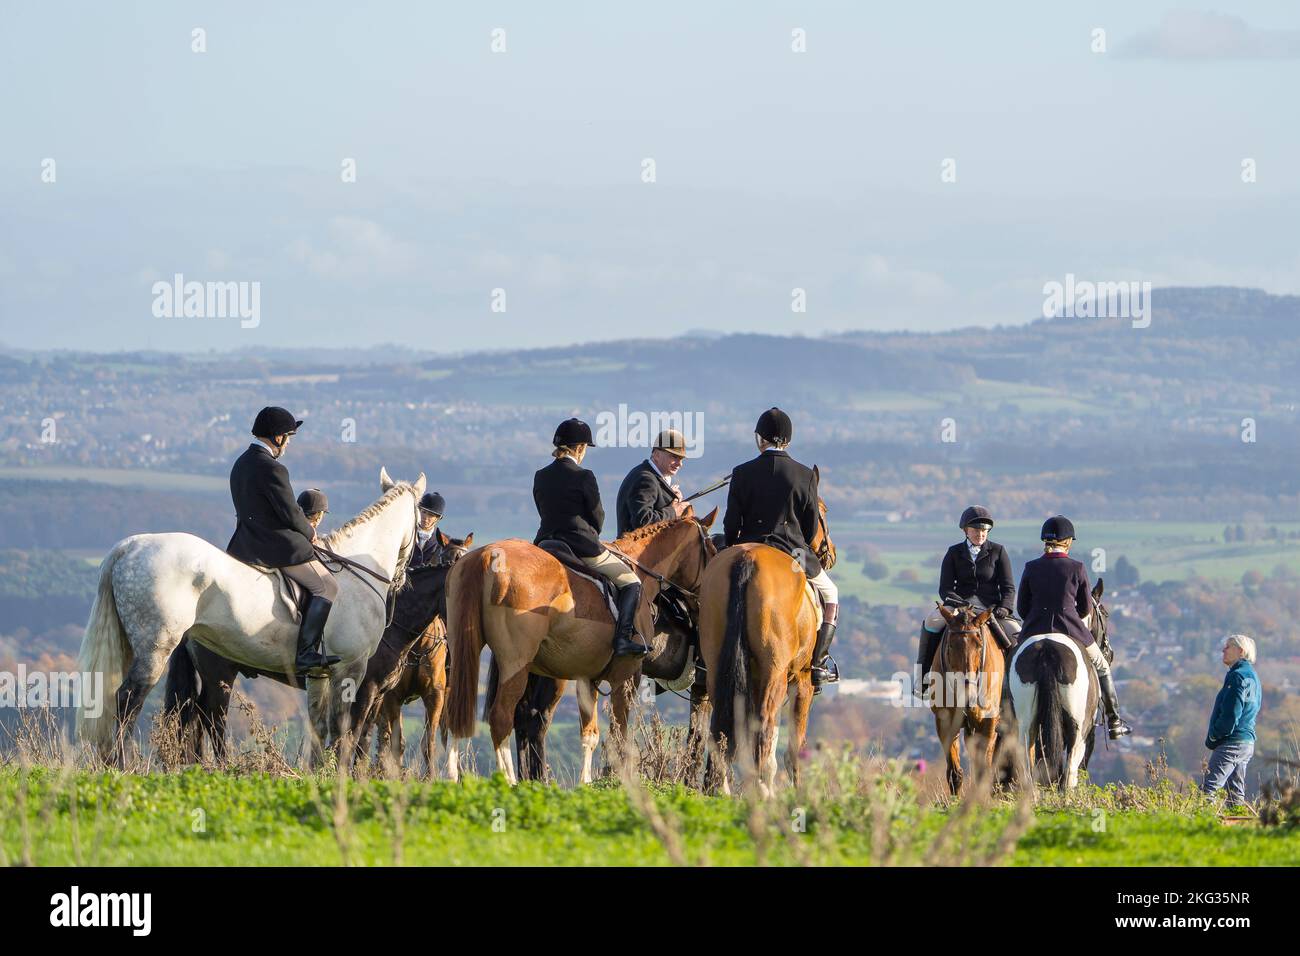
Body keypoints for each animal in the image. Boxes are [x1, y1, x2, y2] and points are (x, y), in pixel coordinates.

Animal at [78, 468, 423, 767]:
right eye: (420, 524)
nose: (402, 579)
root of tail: (130, 546)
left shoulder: (322, 675)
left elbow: (319, 724)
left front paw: (317, 771)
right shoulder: (352, 669)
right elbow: (343, 727)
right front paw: (338, 772)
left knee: (201, 713)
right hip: (158, 648)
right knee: (131, 700)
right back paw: (123, 764)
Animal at [444, 508, 717, 785]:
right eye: (712, 551)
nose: (704, 604)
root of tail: (487, 555)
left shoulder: (588, 678)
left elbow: (591, 734)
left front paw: (587, 784)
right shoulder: (627, 677)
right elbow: (621, 735)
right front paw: (618, 782)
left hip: (469, 654)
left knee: (463, 710)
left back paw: (458, 775)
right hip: (518, 665)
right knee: (504, 717)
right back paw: (510, 781)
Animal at [699, 492, 835, 797]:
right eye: (822, 510)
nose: (830, 553)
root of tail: (746, 559)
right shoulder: (802, 682)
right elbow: (793, 747)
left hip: (718, 667)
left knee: (723, 722)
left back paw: (723, 788)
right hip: (776, 674)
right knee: (765, 724)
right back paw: (763, 791)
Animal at [928, 604, 1005, 795]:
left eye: (979, 645)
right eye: (950, 645)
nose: (968, 697)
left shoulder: (989, 722)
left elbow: (984, 770)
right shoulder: (946, 723)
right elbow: (955, 773)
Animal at [1006, 579, 1109, 789]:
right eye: (1104, 613)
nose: (1109, 653)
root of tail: (1047, 650)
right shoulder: (1088, 734)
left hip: (1025, 726)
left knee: (1028, 767)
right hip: (1077, 732)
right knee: (1069, 774)